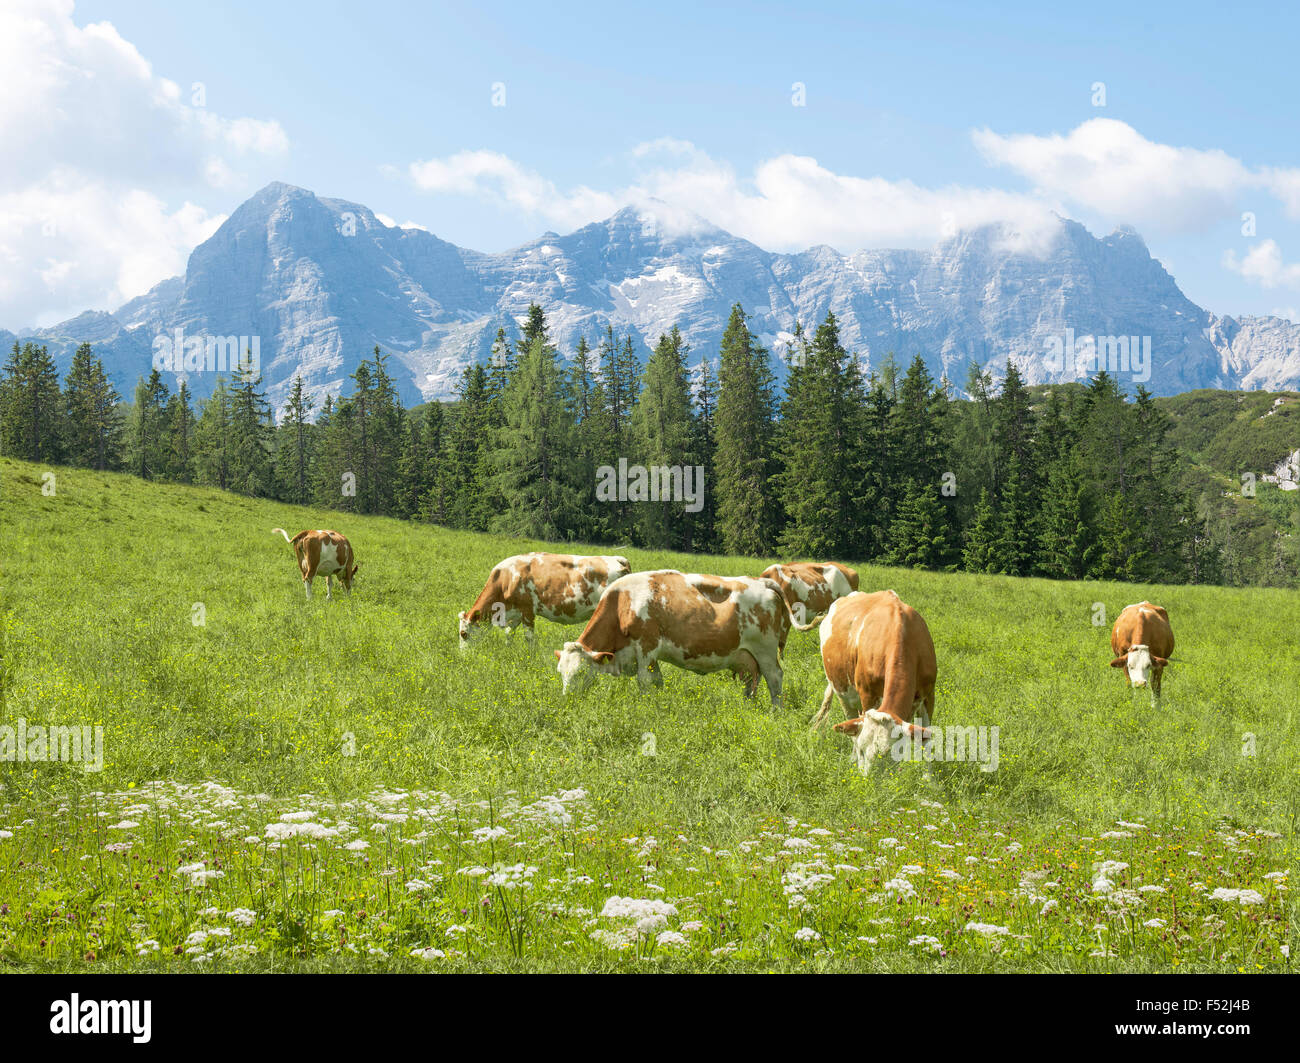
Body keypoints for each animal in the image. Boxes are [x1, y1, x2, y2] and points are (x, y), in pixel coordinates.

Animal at [458, 553, 631, 650]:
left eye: (463, 633)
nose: (464, 655)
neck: (506, 578)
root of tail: (618, 559)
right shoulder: (516, 613)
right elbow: (509, 633)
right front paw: (508, 651)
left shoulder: (528, 610)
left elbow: (529, 637)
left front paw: (530, 657)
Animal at [554, 570, 791, 707]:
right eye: (560, 672)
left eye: (580, 672)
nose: (567, 700)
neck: (622, 602)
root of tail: (762, 582)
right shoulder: (649, 657)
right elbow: (657, 681)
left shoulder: (646, 648)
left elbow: (644, 681)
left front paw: (645, 707)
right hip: (747, 657)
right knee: (751, 682)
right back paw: (746, 707)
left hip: (765, 651)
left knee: (775, 678)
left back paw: (775, 711)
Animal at [809, 590, 937, 774]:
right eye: (863, 751)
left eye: (889, 753)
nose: (868, 781)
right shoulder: (867, 695)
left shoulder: (929, 694)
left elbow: (925, 738)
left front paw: (929, 778)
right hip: (842, 693)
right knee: (852, 725)